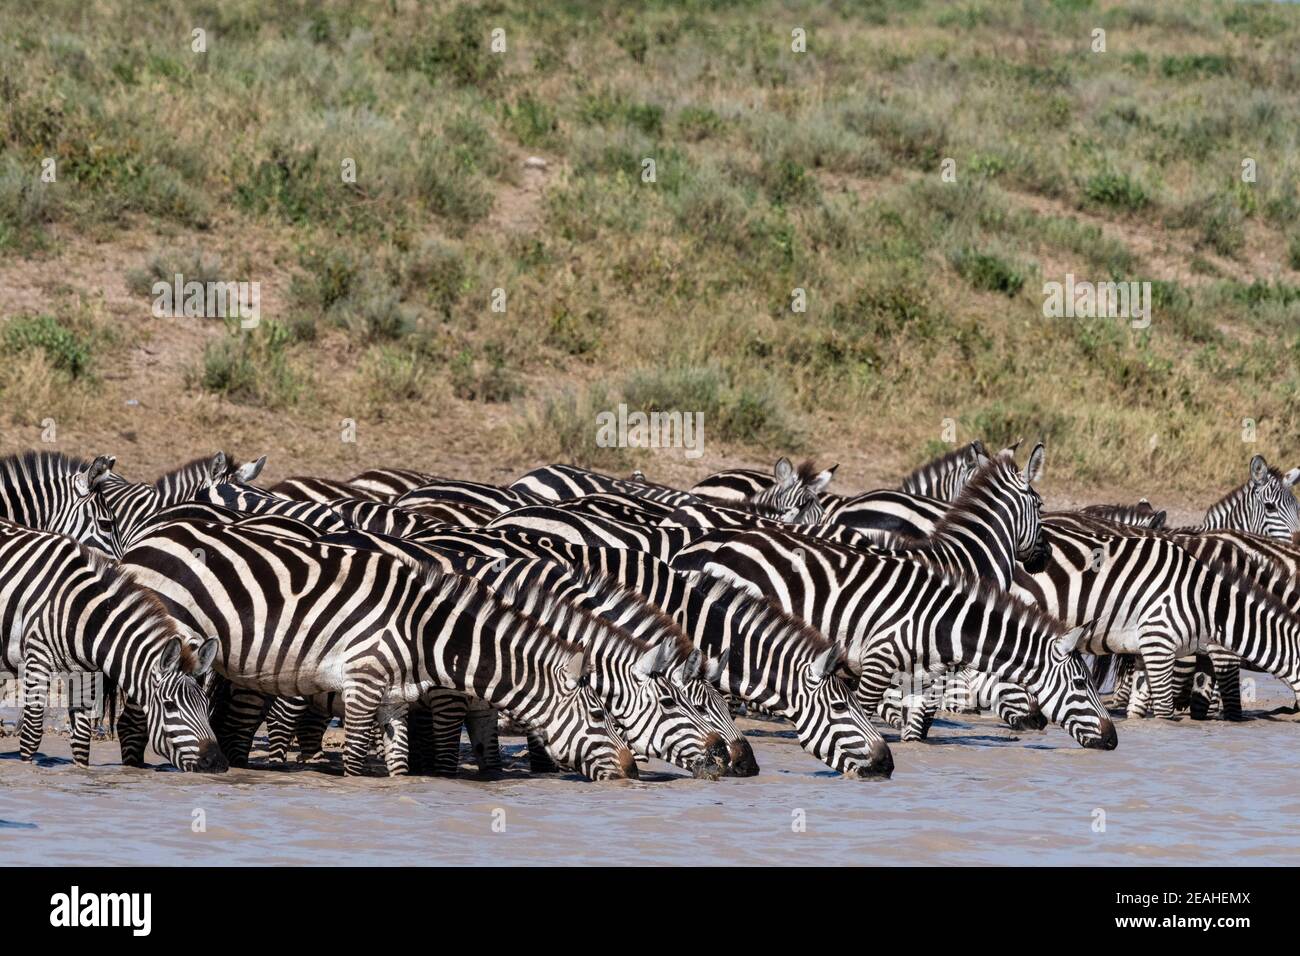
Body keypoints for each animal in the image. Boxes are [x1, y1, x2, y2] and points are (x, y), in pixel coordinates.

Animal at [0, 518, 225, 771]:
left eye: (206, 704)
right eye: (169, 706)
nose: (217, 763)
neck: (82, 614)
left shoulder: (82, 672)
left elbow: (81, 739)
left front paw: (81, 773)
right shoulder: (37, 656)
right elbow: (32, 732)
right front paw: (27, 768)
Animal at [120, 521, 638, 779]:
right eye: (599, 716)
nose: (631, 771)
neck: (424, 633)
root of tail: (145, 540)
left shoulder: (394, 699)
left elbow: (400, 768)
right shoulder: (363, 684)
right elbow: (353, 760)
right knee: (133, 713)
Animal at [670, 528, 1115, 749]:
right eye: (1082, 683)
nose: (1112, 741)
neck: (940, 622)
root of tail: (710, 544)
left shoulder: (919, 672)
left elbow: (917, 722)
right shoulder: (878, 658)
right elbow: (864, 710)